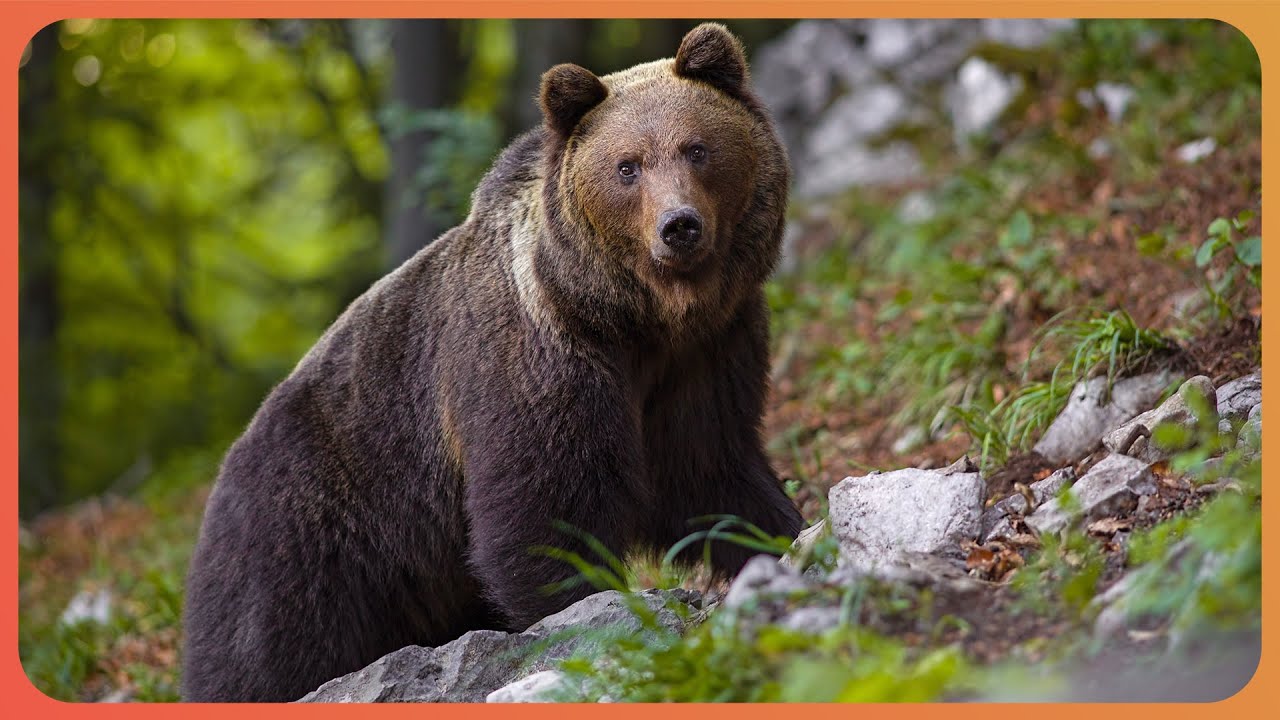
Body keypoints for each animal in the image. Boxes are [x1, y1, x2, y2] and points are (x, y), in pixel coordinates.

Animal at [181, 23, 802, 703]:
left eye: (696, 149)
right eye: (627, 166)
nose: (679, 226)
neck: (634, 319)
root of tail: (220, 474)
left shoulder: (706, 355)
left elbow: (710, 468)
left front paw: (779, 535)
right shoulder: (537, 358)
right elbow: (546, 507)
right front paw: (586, 612)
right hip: (308, 531)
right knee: (267, 652)